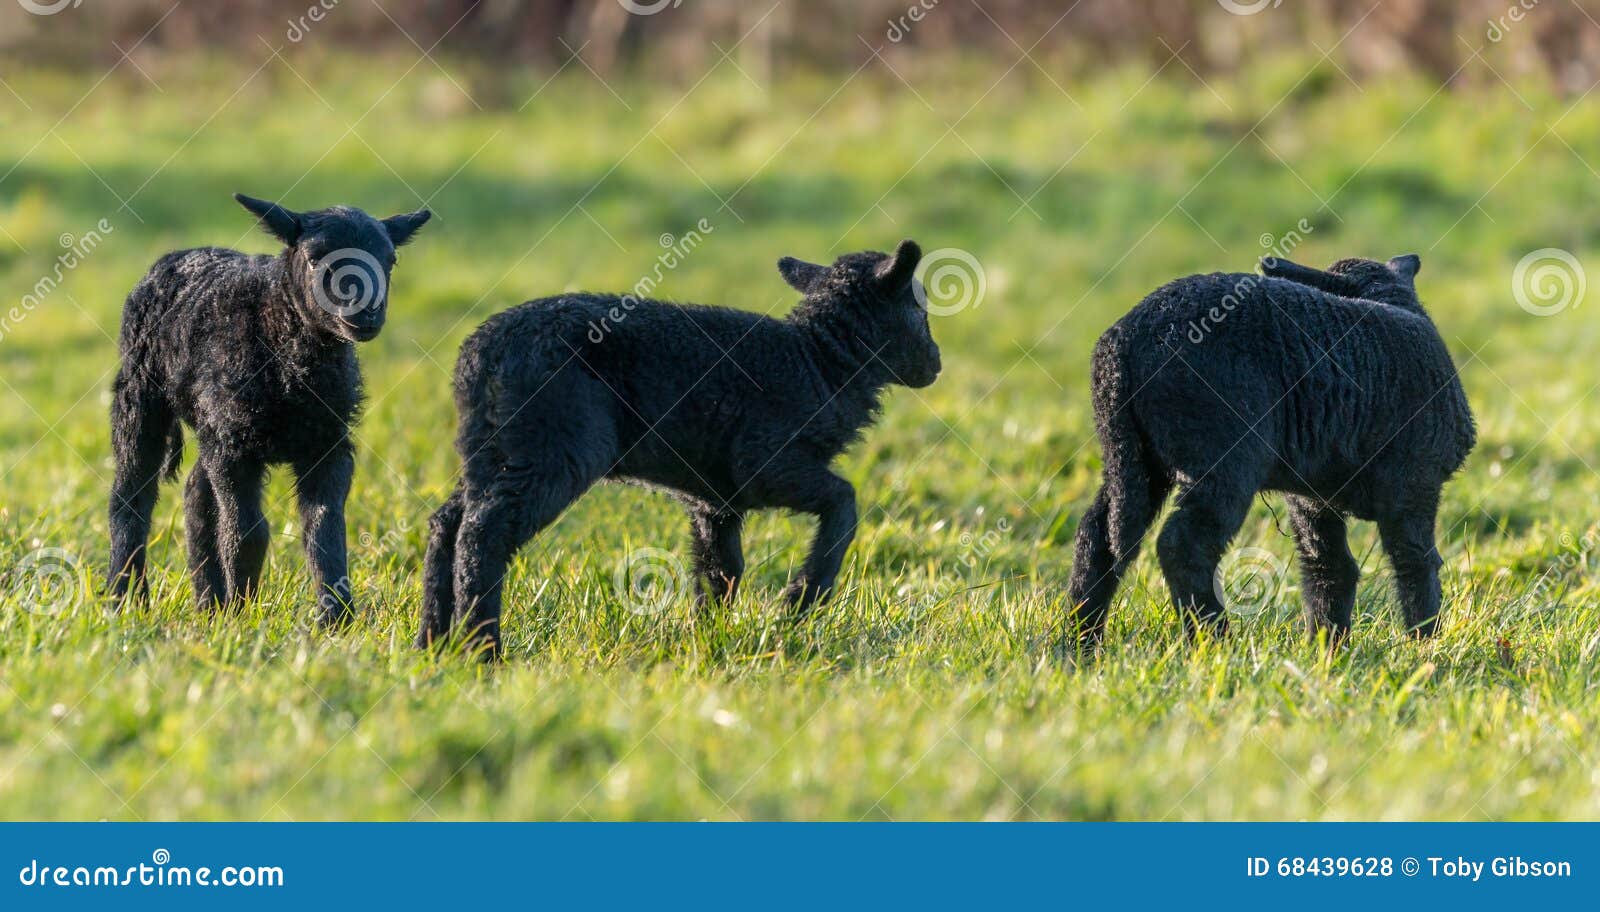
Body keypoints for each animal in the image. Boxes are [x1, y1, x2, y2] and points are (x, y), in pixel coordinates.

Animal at [107, 193, 431, 624]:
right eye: (315, 258)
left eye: (389, 260)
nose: (366, 313)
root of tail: (175, 256)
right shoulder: (235, 448)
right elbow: (247, 531)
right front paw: (241, 613)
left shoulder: (327, 445)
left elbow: (324, 526)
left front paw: (337, 617)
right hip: (142, 397)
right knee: (131, 497)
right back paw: (125, 599)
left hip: (214, 423)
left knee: (195, 493)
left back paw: (207, 603)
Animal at [417, 239, 940, 657]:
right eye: (921, 311)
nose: (936, 364)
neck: (820, 359)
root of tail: (479, 357)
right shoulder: (766, 464)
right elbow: (844, 503)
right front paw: (799, 602)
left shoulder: (715, 499)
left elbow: (721, 569)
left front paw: (712, 636)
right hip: (552, 449)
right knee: (484, 532)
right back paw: (483, 650)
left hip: (495, 448)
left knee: (449, 521)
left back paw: (432, 644)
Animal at [1066, 253, 1475, 646]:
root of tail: (1121, 346)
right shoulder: (1415, 480)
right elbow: (1416, 562)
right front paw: (1424, 645)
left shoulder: (1312, 497)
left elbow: (1329, 567)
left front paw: (1327, 648)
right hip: (1222, 456)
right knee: (1182, 544)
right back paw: (1215, 641)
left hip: (1132, 457)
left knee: (1099, 536)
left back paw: (1080, 642)